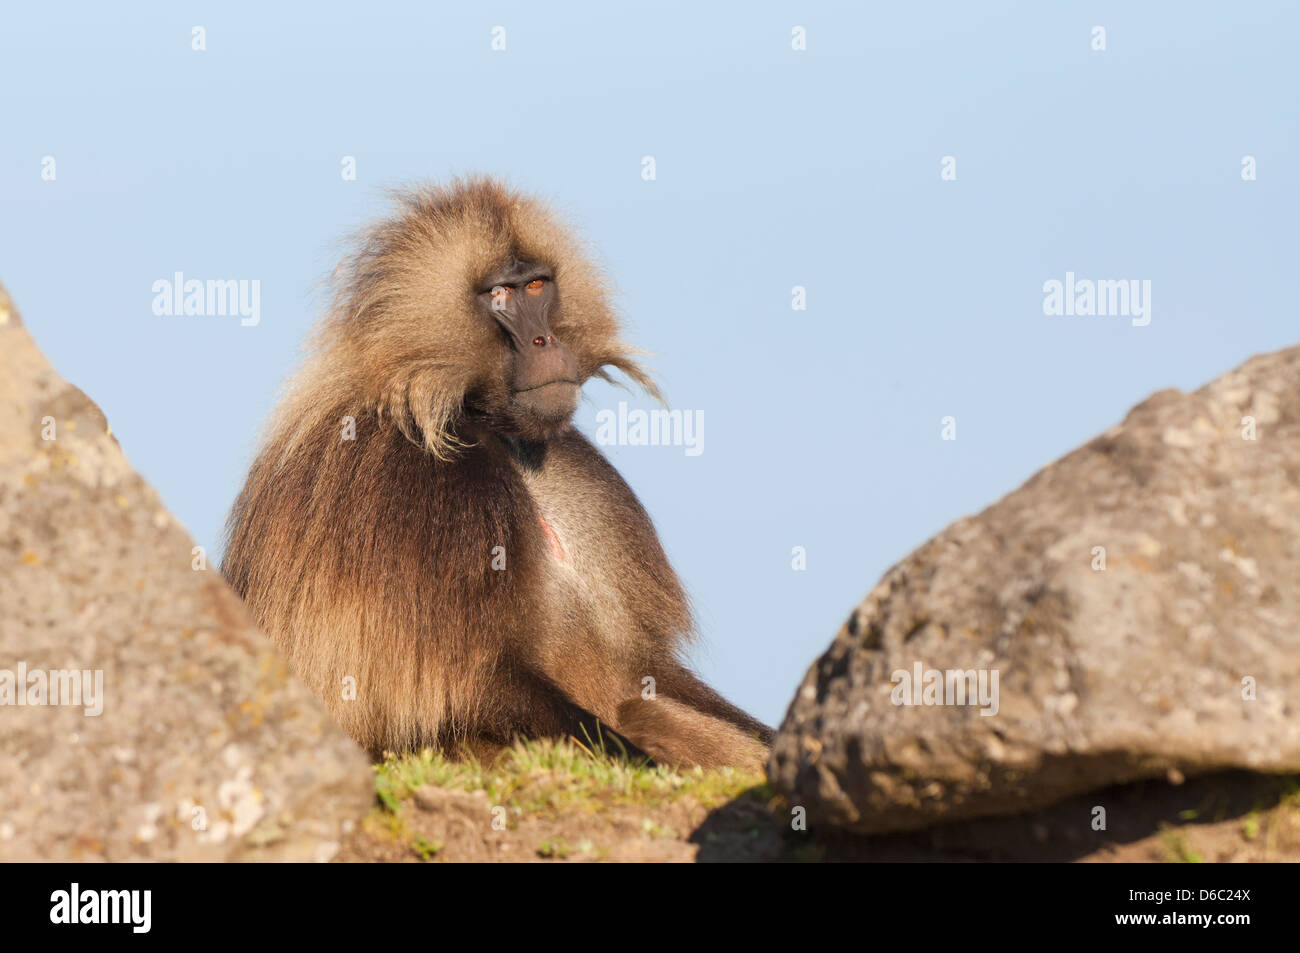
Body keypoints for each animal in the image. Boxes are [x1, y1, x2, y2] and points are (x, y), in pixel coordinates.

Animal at [221, 177, 772, 771]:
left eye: (536, 286)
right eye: (498, 296)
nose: (545, 343)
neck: (485, 425)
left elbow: (645, 668)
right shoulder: (417, 489)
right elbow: (465, 683)